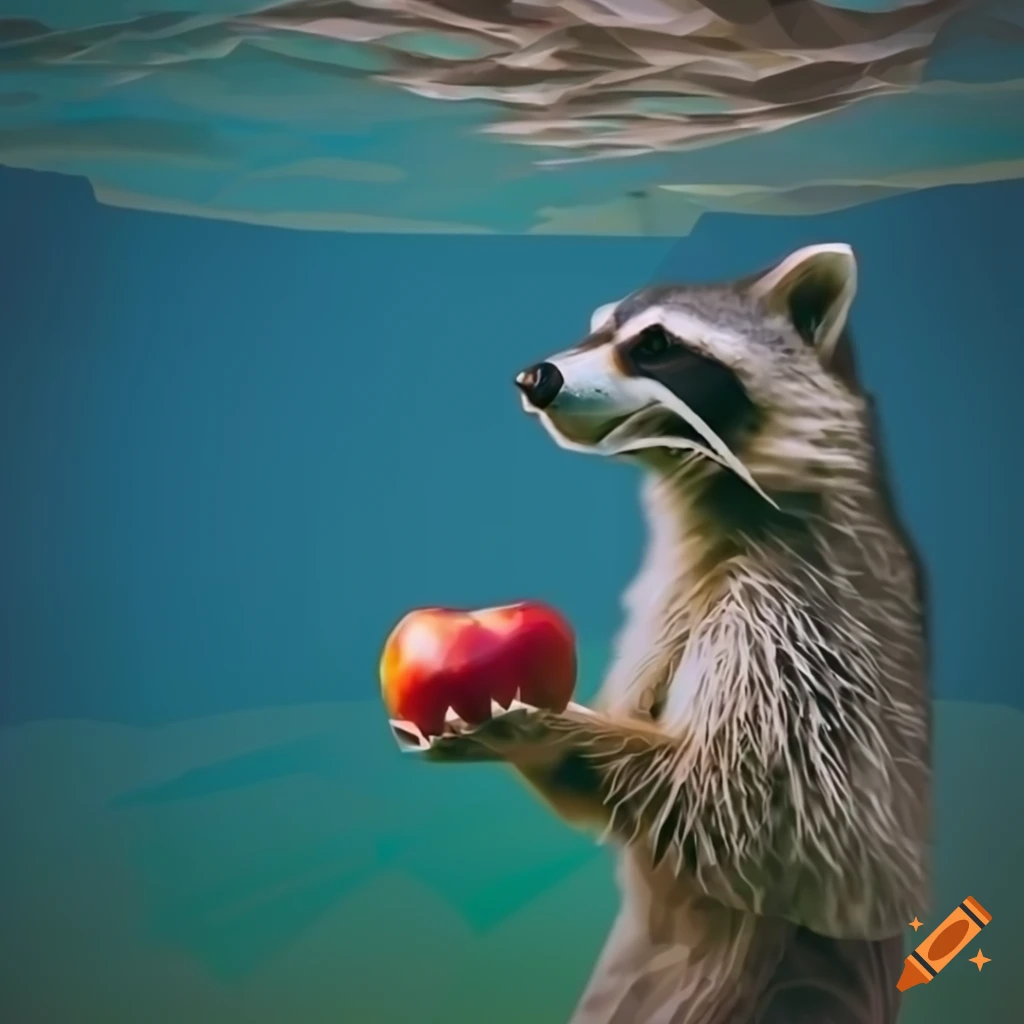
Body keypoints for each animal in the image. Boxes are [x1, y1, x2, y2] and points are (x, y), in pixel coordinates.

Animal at [433, 244, 930, 1024]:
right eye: (598, 326)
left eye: (656, 345)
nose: (535, 377)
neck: (705, 492)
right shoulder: (671, 592)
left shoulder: (803, 620)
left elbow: (751, 814)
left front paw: (545, 729)